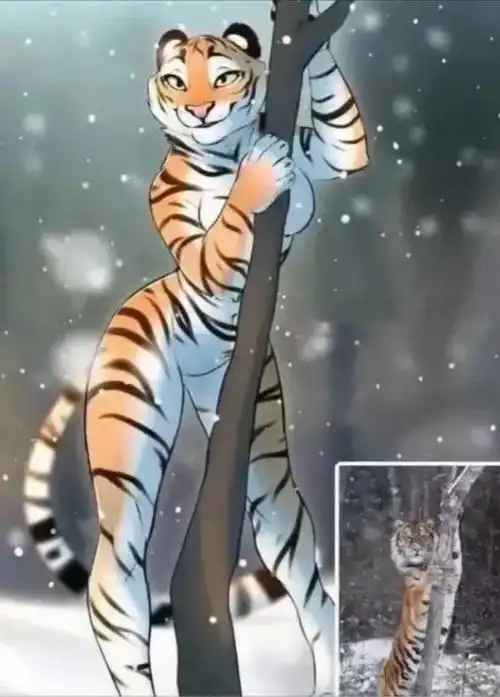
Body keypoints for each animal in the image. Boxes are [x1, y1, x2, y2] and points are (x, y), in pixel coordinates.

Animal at [25, 10, 368, 696]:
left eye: (226, 75)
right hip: (128, 451)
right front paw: (258, 177)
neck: (224, 152)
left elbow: (343, 132)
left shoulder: (327, 153)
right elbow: (224, 232)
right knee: (114, 581)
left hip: (261, 444)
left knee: (306, 576)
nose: (201, 111)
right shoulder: (190, 238)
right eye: (178, 81)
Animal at [378, 519, 463, 697]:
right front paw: (431, 573)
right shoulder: (414, 603)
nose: (416, 549)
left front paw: (455, 521)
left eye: (423, 536)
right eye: (409, 537)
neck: (421, 565)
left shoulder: (452, 580)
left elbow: (457, 558)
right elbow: (421, 587)